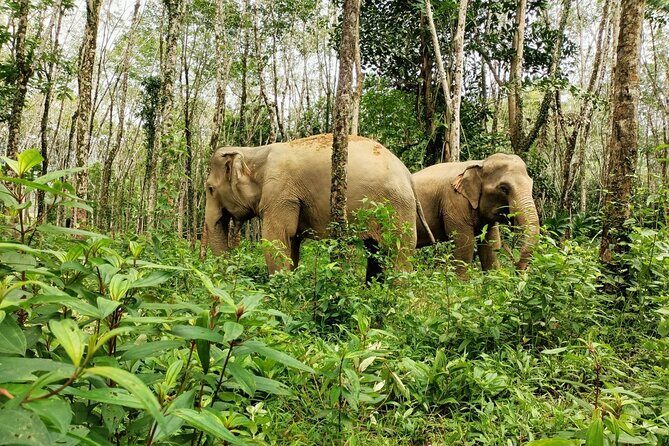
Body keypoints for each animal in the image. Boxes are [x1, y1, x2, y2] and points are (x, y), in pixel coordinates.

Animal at [205, 134, 434, 282]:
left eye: (209, 189)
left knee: (397, 251)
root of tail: (408, 176)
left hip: (398, 208)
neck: (254, 152)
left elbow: (276, 239)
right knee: (376, 251)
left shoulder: (281, 192)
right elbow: (292, 241)